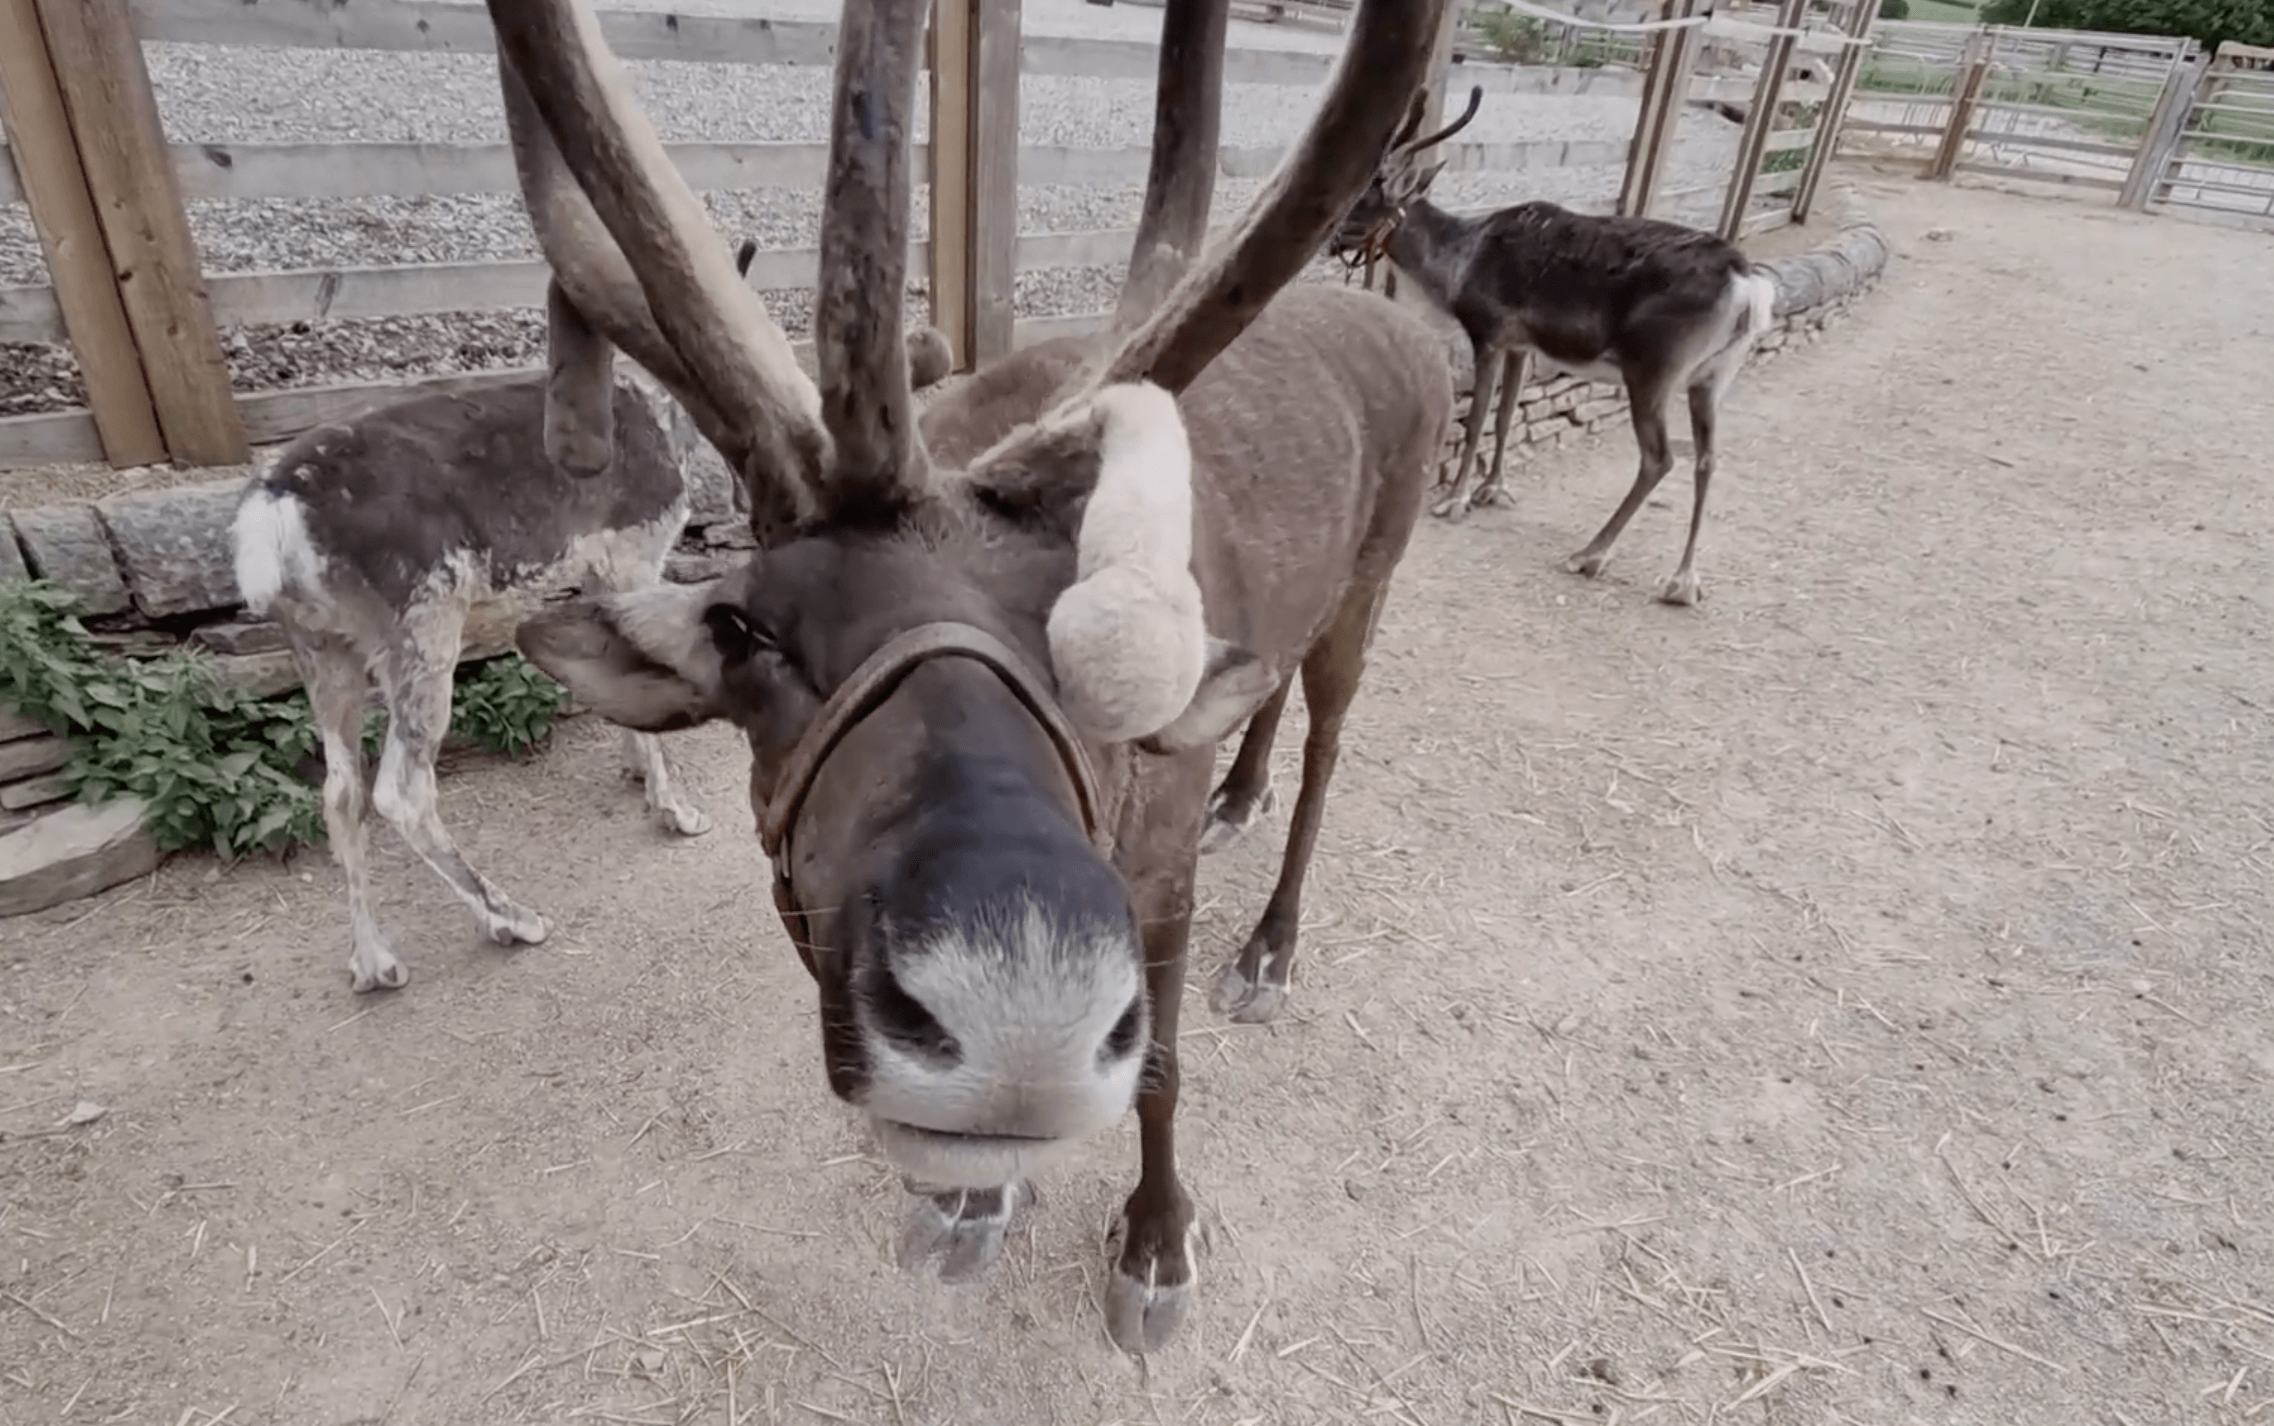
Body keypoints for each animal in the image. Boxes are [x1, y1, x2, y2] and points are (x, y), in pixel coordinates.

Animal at [234, 294, 956, 995]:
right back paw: (510, 918)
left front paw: (636, 772)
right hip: (421, 626)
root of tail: (269, 529)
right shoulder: (633, 553)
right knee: (399, 790)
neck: (670, 424)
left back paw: (374, 961)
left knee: (339, 791)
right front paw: (673, 808)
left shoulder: (594, 573)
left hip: (323, 650)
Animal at [475, 0, 1455, 1353]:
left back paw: (1270, 947)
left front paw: (1156, 1246)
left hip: (1378, 575)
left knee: (1327, 743)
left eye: (1083, 618)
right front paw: (976, 1202)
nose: (1019, 1021)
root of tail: (1402, 317)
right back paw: (1240, 792)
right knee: (1267, 707)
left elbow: (1161, 1068)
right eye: (744, 627)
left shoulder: (1154, 869)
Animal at [1329, 84, 1780, 607]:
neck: (1457, 263)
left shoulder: (1486, 331)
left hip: (1653, 369)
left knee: (1660, 458)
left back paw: (1590, 554)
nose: (1330, 240)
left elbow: (1478, 417)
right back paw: (1683, 580)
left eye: (1363, 201)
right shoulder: (1522, 345)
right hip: (1711, 378)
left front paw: (1455, 499)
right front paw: (1493, 489)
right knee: (1707, 460)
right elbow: (1506, 416)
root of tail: (1747, 283)